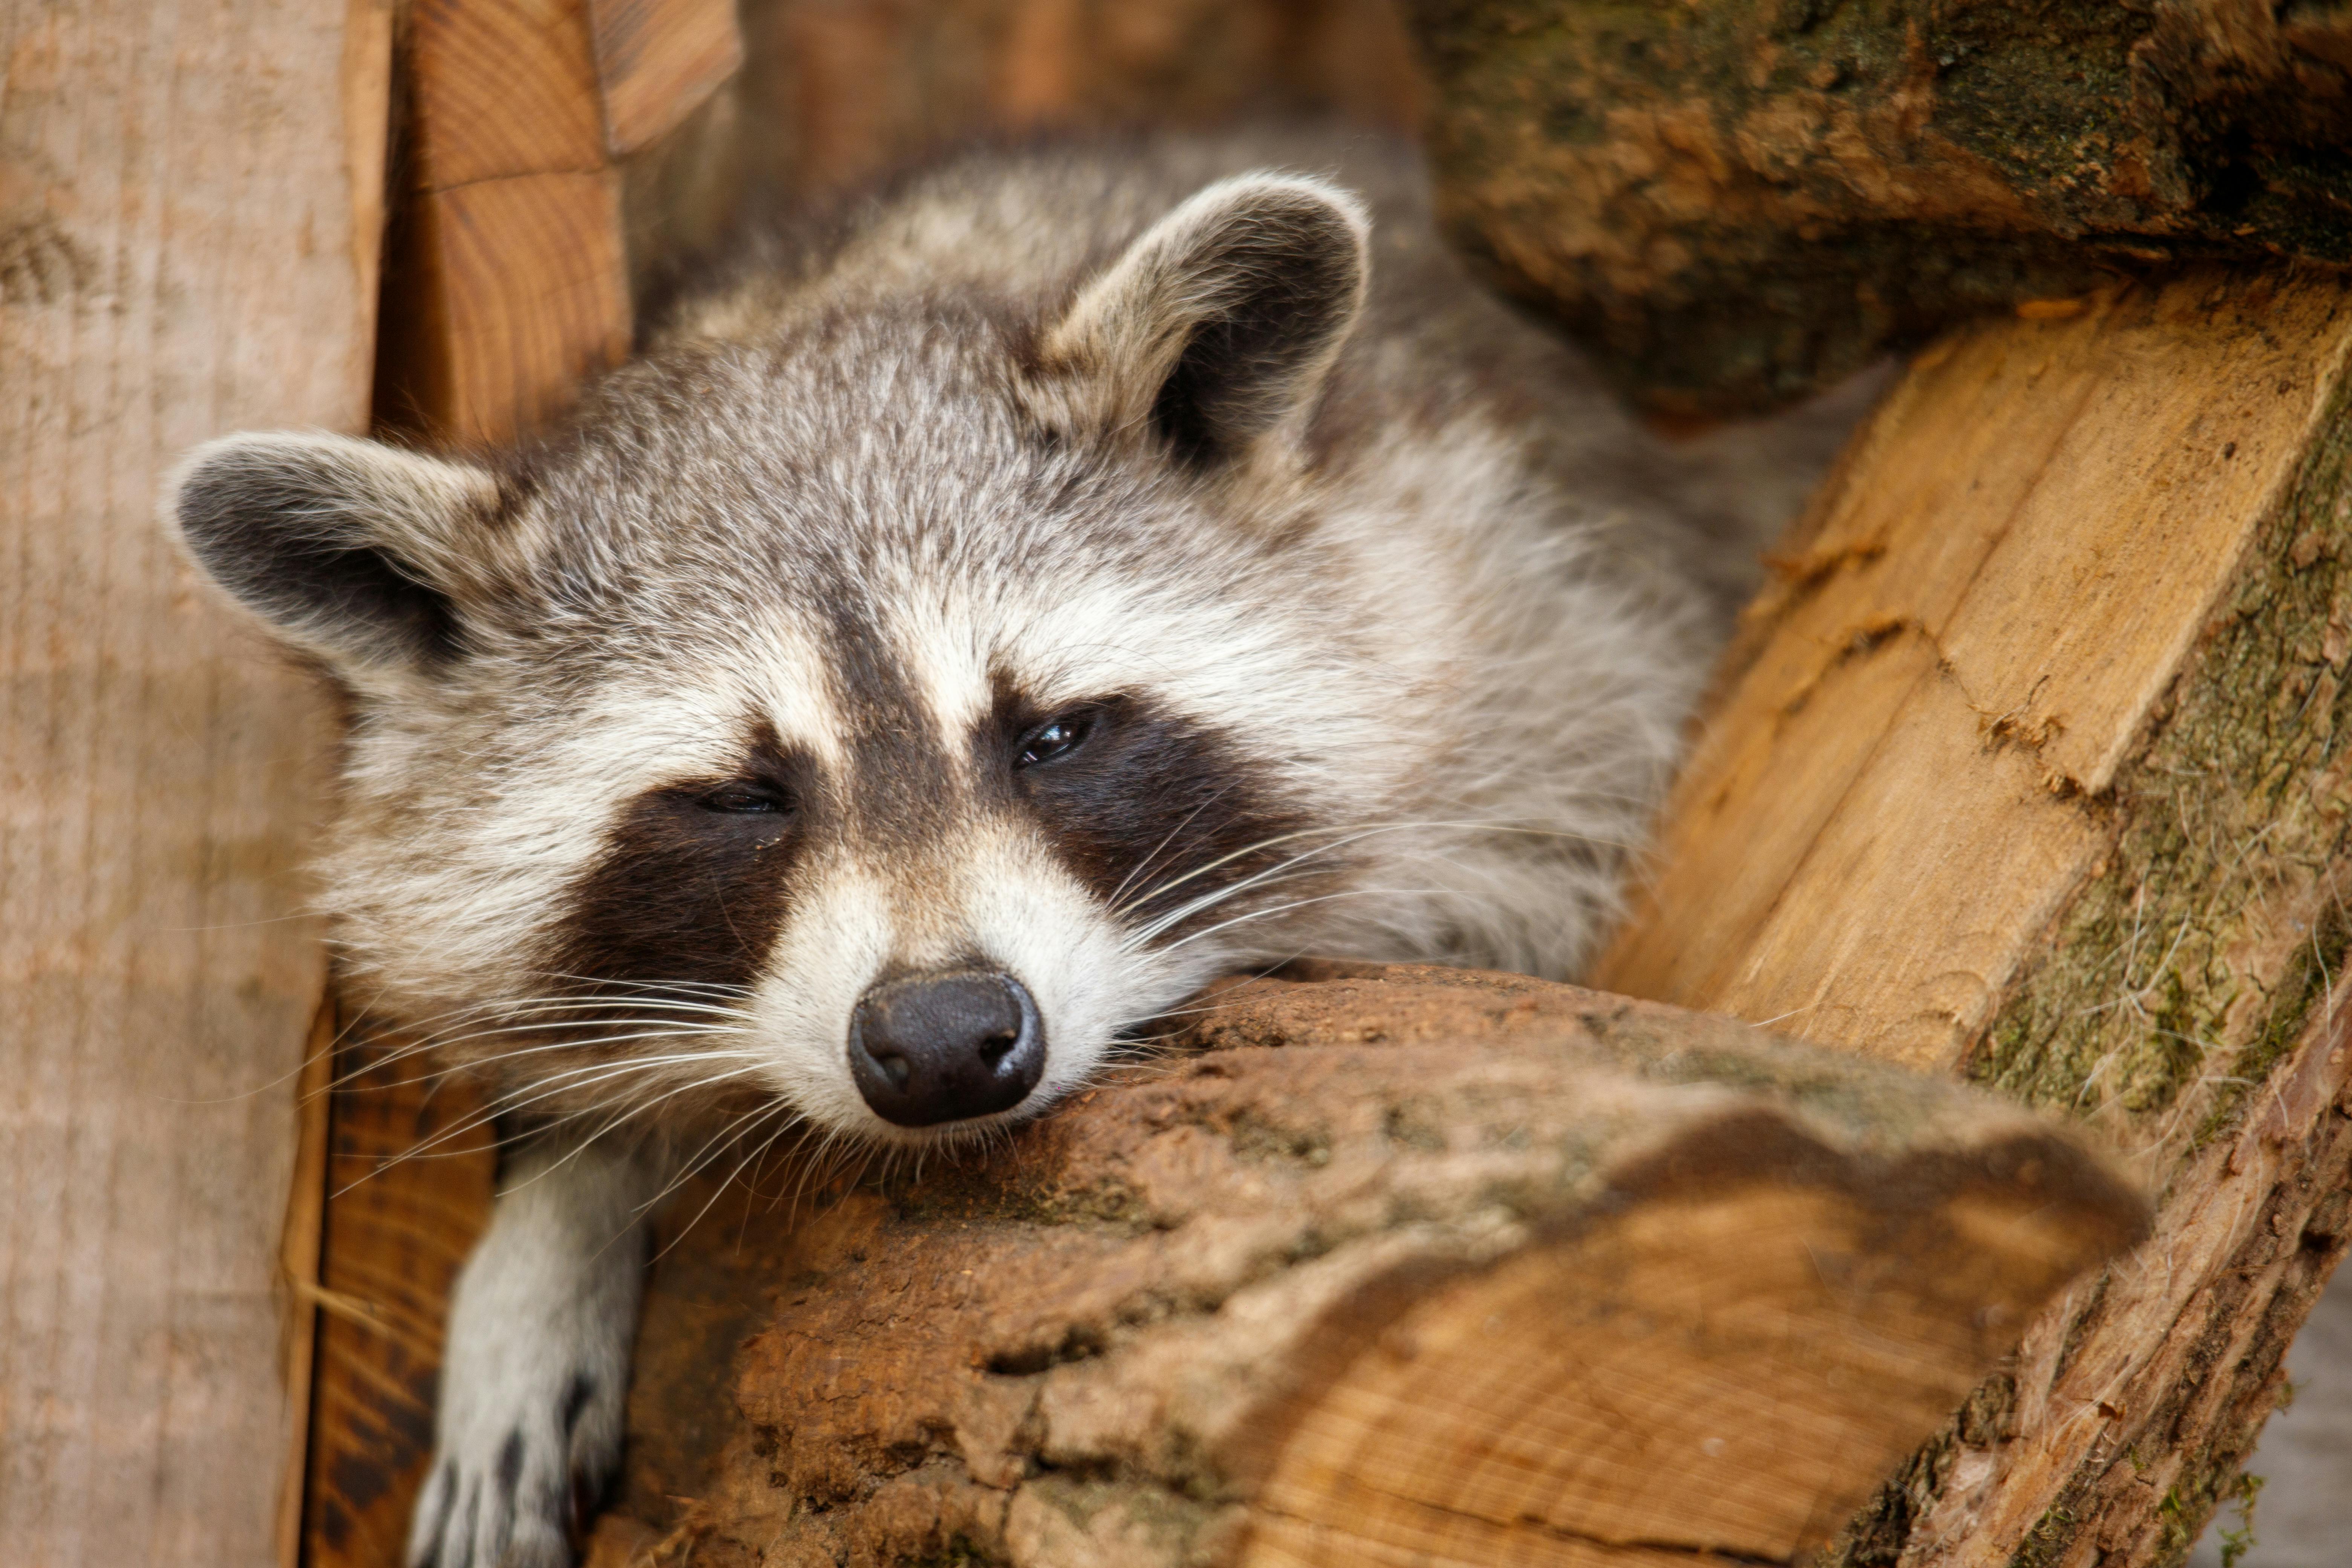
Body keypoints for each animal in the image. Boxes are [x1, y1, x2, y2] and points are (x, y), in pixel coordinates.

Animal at [166, 130, 1855, 1567]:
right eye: (741, 798)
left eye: (1051, 735)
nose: (941, 1040)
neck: (830, 298)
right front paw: (564, 1212)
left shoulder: (1542, 626)